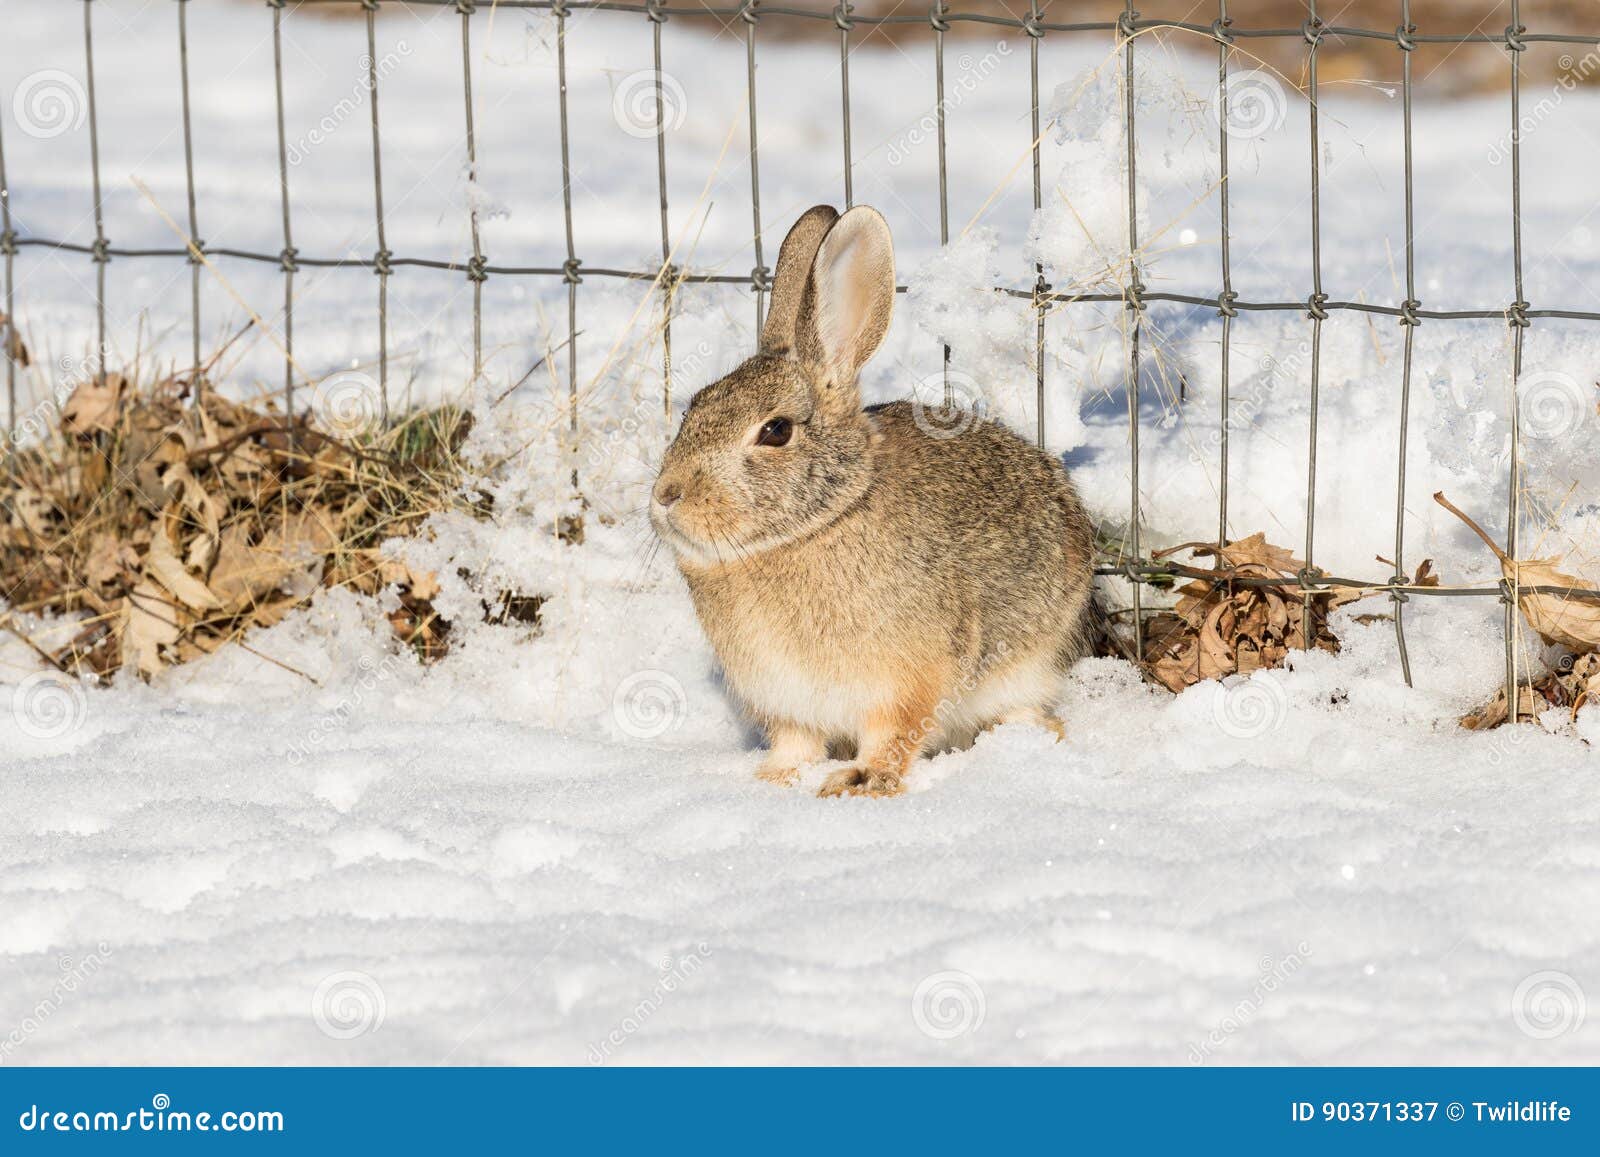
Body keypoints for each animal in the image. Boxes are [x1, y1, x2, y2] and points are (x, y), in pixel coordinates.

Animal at [650, 204, 1096, 798]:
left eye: (775, 431)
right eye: (692, 408)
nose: (666, 494)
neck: (816, 523)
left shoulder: (906, 682)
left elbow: (895, 734)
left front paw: (860, 781)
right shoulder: (784, 701)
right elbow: (796, 742)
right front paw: (774, 779)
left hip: (1026, 663)